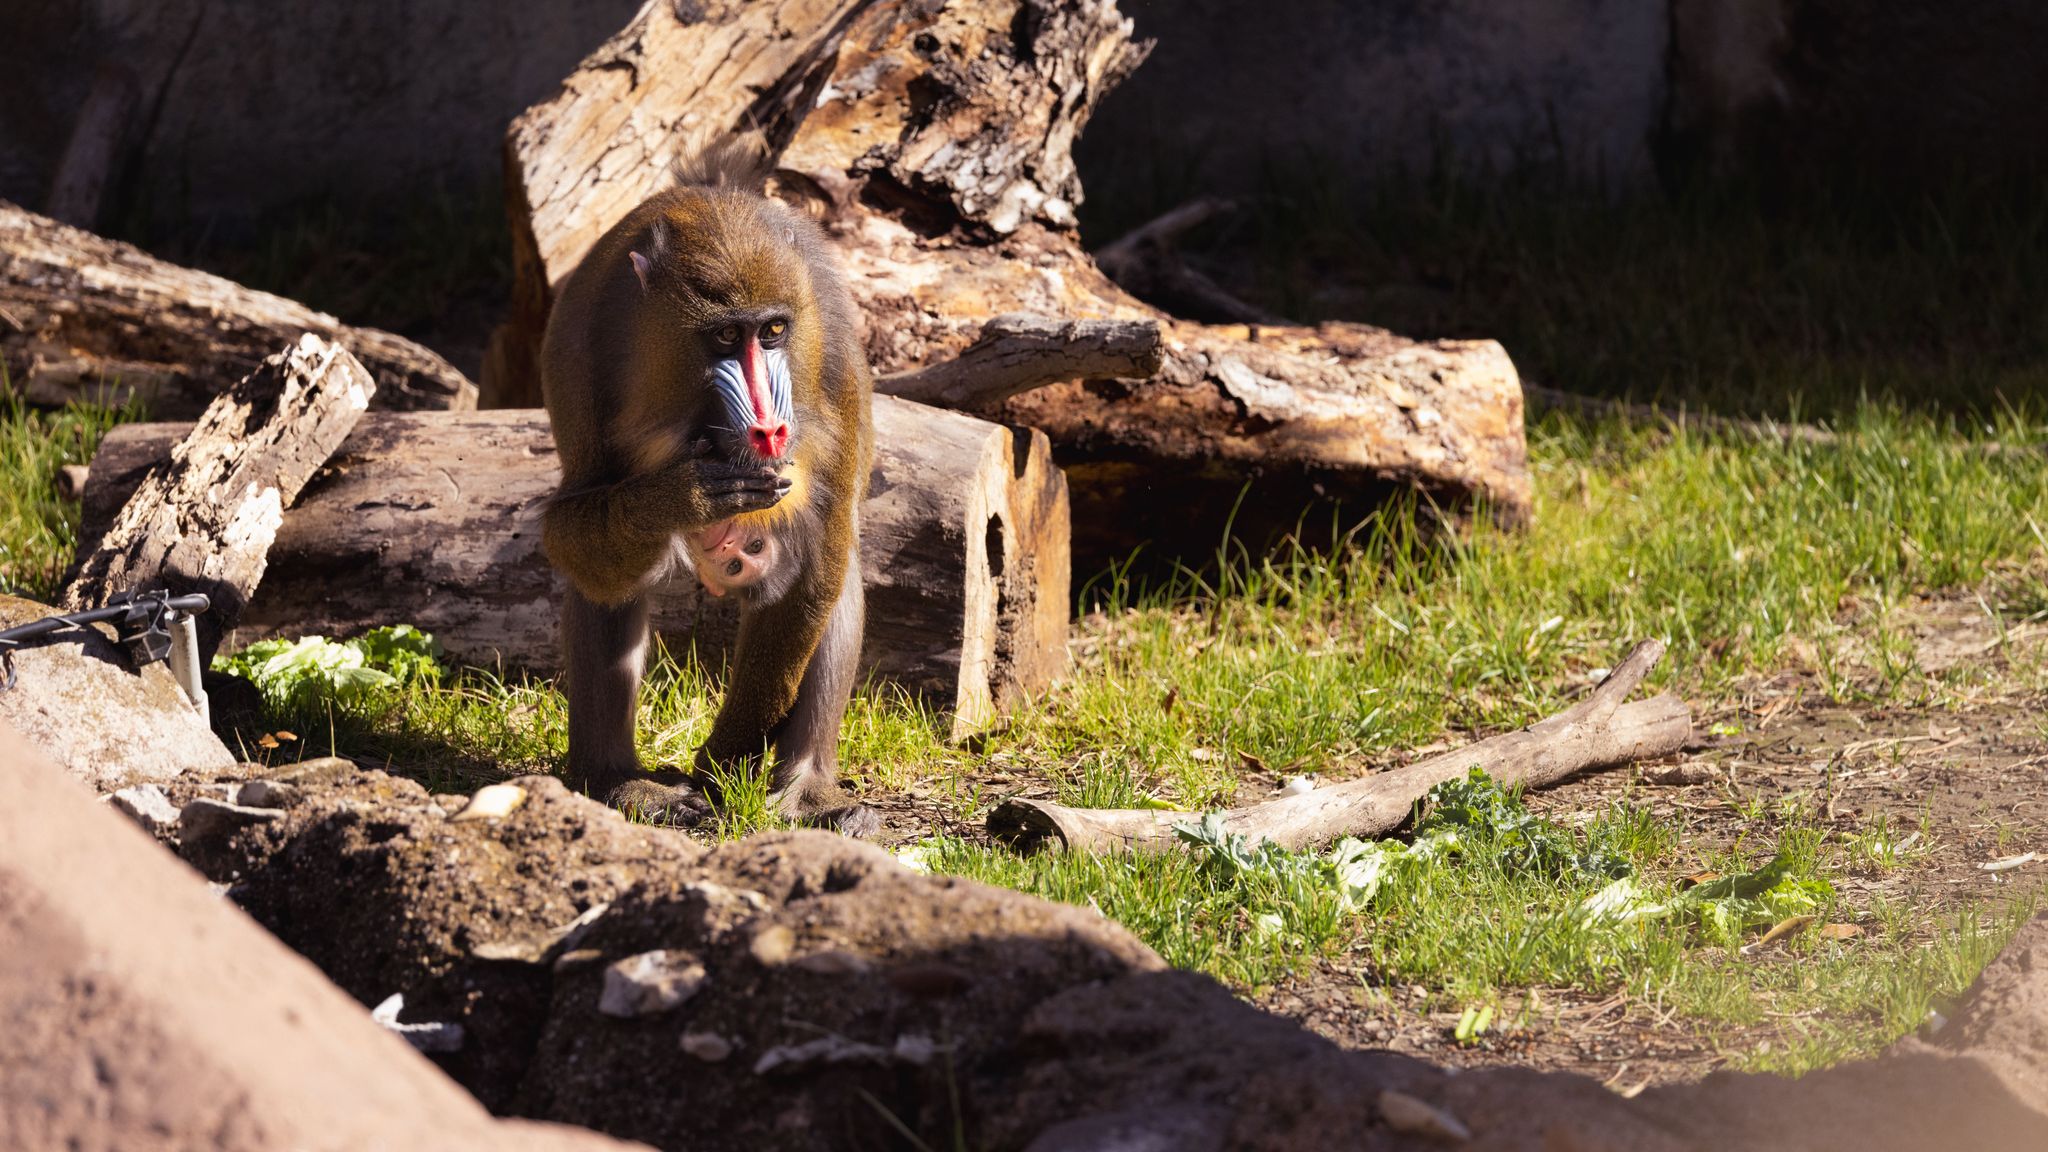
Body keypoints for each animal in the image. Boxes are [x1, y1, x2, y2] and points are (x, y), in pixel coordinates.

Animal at [538, 140, 876, 835]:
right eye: (723, 335)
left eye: (773, 332)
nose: (770, 429)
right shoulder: (580, 352)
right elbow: (573, 528)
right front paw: (679, 496)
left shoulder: (831, 360)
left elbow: (820, 559)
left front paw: (722, 760)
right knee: (608, 578)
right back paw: (615, 781)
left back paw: (808, 789)